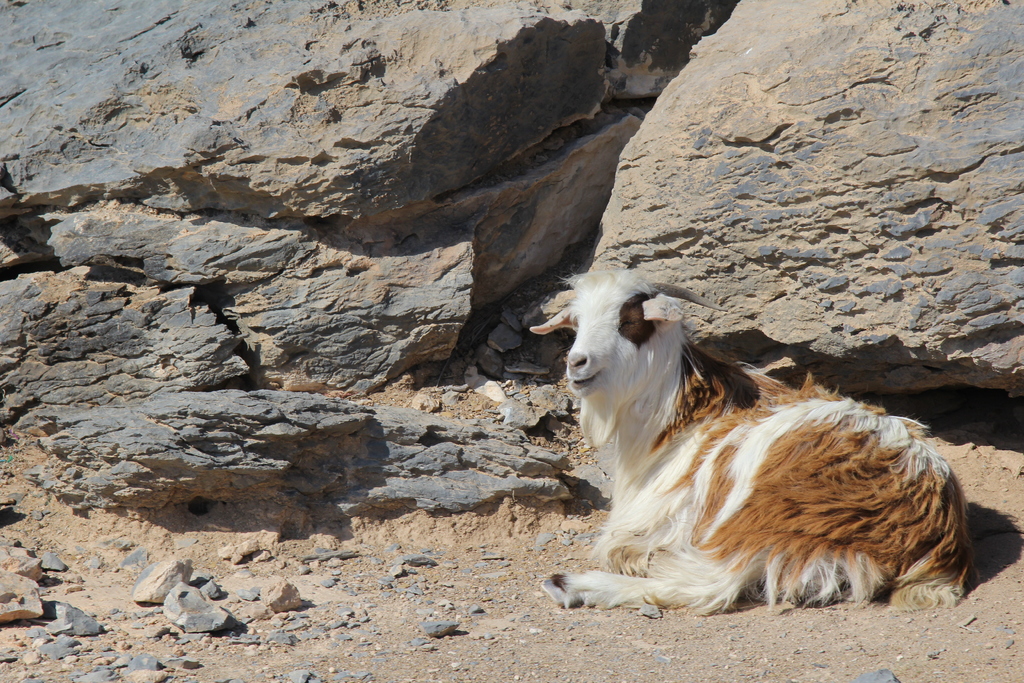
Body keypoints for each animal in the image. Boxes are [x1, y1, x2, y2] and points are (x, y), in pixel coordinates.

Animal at [530, 270, 972, 613]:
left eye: (628, 321)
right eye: (576, 322)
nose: (576, 363)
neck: (681, 416)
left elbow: (618, 545)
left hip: (767, 505)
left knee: (710, 585)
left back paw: (571, 585)